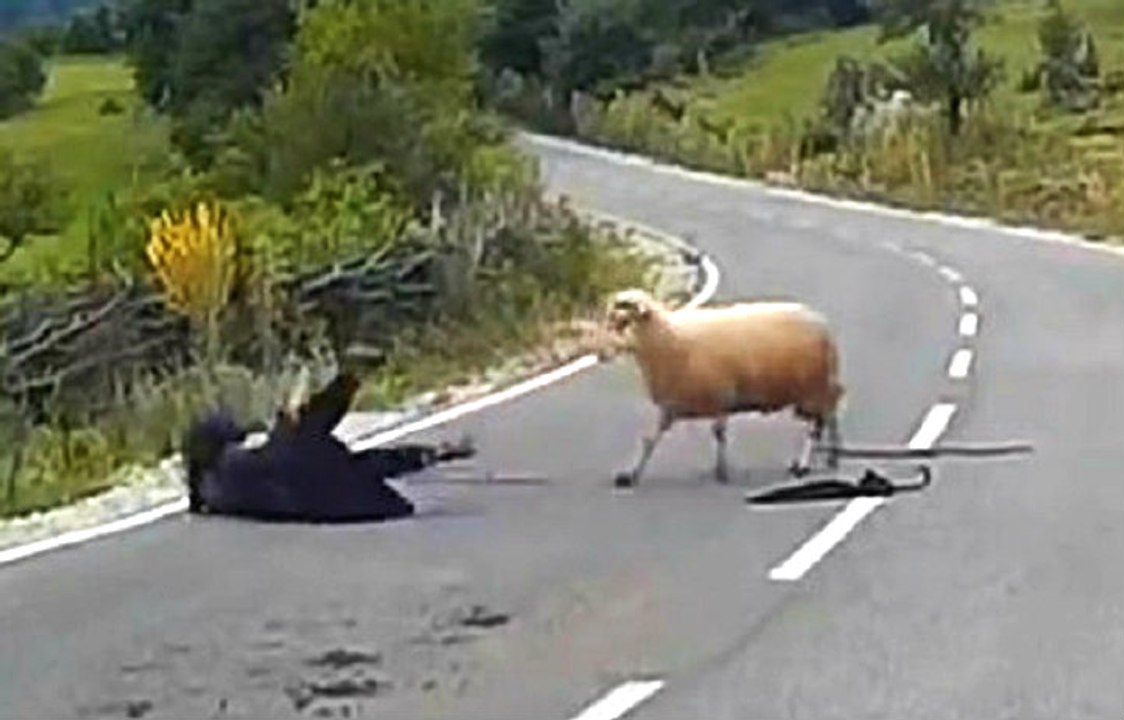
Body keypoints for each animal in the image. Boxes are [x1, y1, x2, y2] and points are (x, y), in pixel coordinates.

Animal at [603, 287, 844, 486]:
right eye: (611, 320)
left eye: (624, 321)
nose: (603, 353)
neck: (668, 339)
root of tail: (822, 324)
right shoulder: (672, 405)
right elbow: (650, 440)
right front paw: (630, 475)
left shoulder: (719, 397)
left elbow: (718, 433)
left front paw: (722, 472)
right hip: (818, 386)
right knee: (831, 414)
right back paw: (832, 457)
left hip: (813, 386)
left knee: (816, 425)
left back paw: (804, 465)